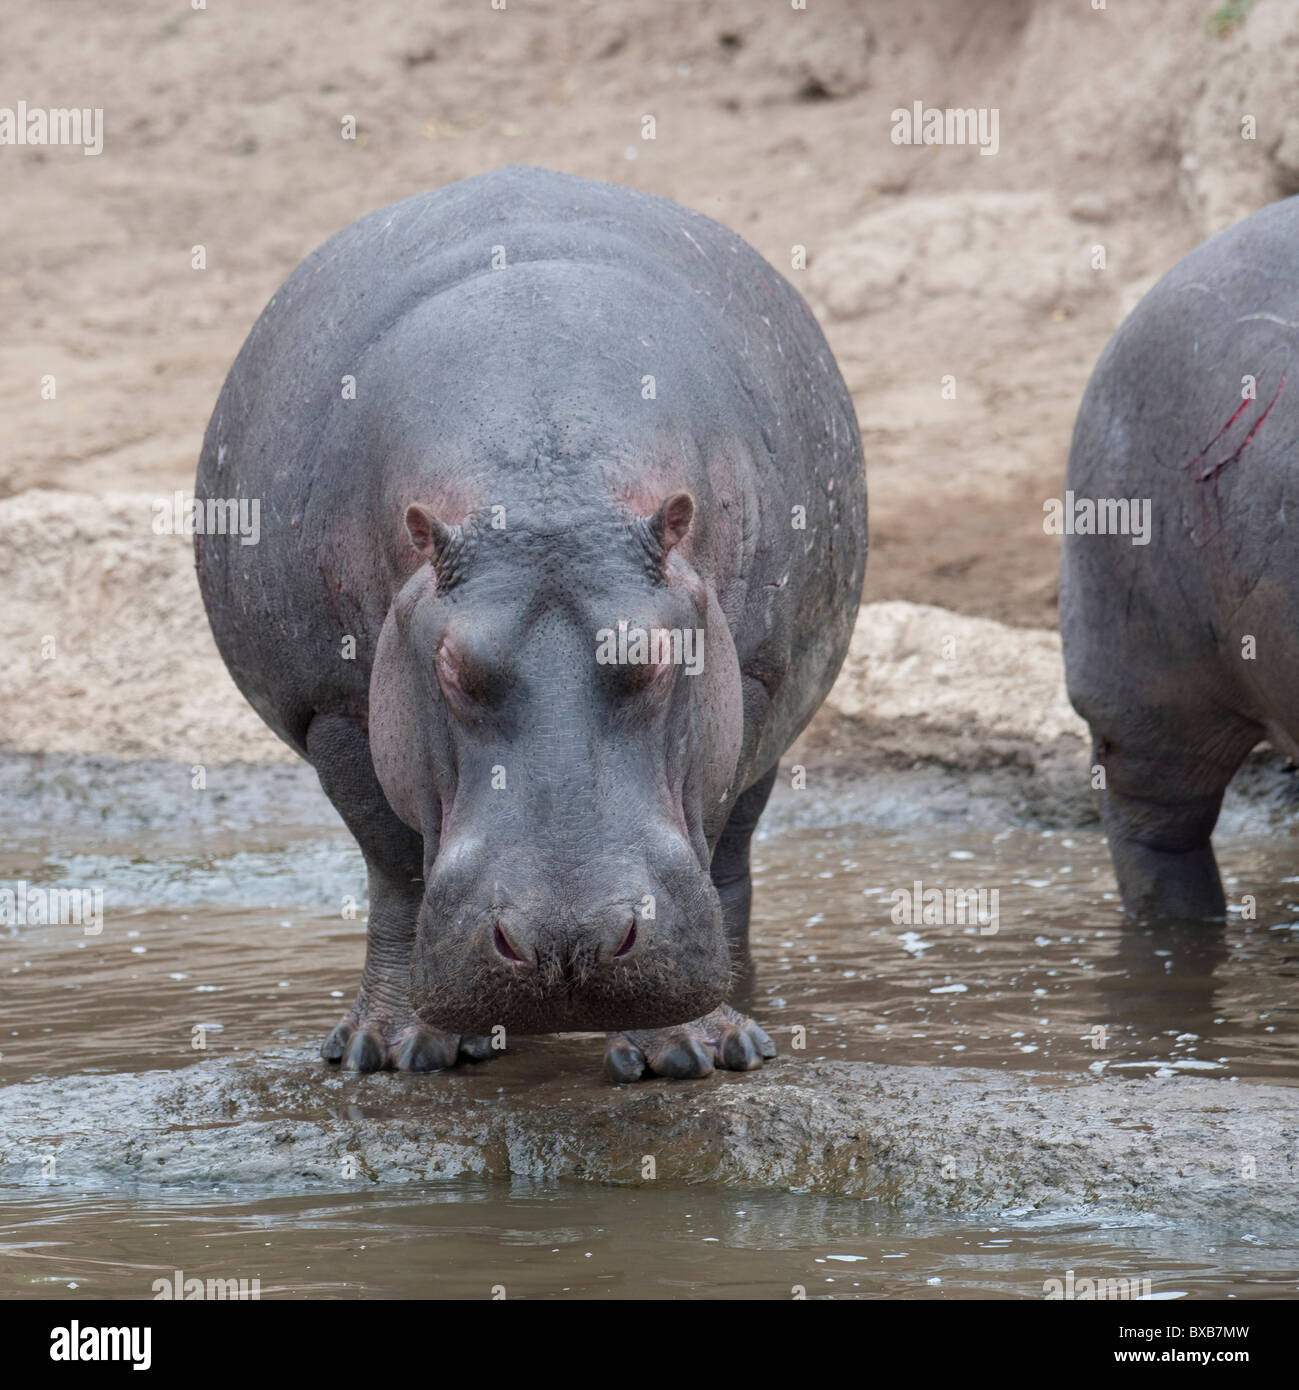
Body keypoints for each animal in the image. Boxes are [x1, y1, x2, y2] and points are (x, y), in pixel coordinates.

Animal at [195, 166, 866, 1081]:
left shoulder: (753, 685)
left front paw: (690, 1048)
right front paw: (391, 1048)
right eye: (451, 668)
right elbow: (395, 870)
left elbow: (710, 830)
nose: (567, 944)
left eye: (659, 657)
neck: (550, 479)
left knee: (731, 864)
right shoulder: (330, 707)